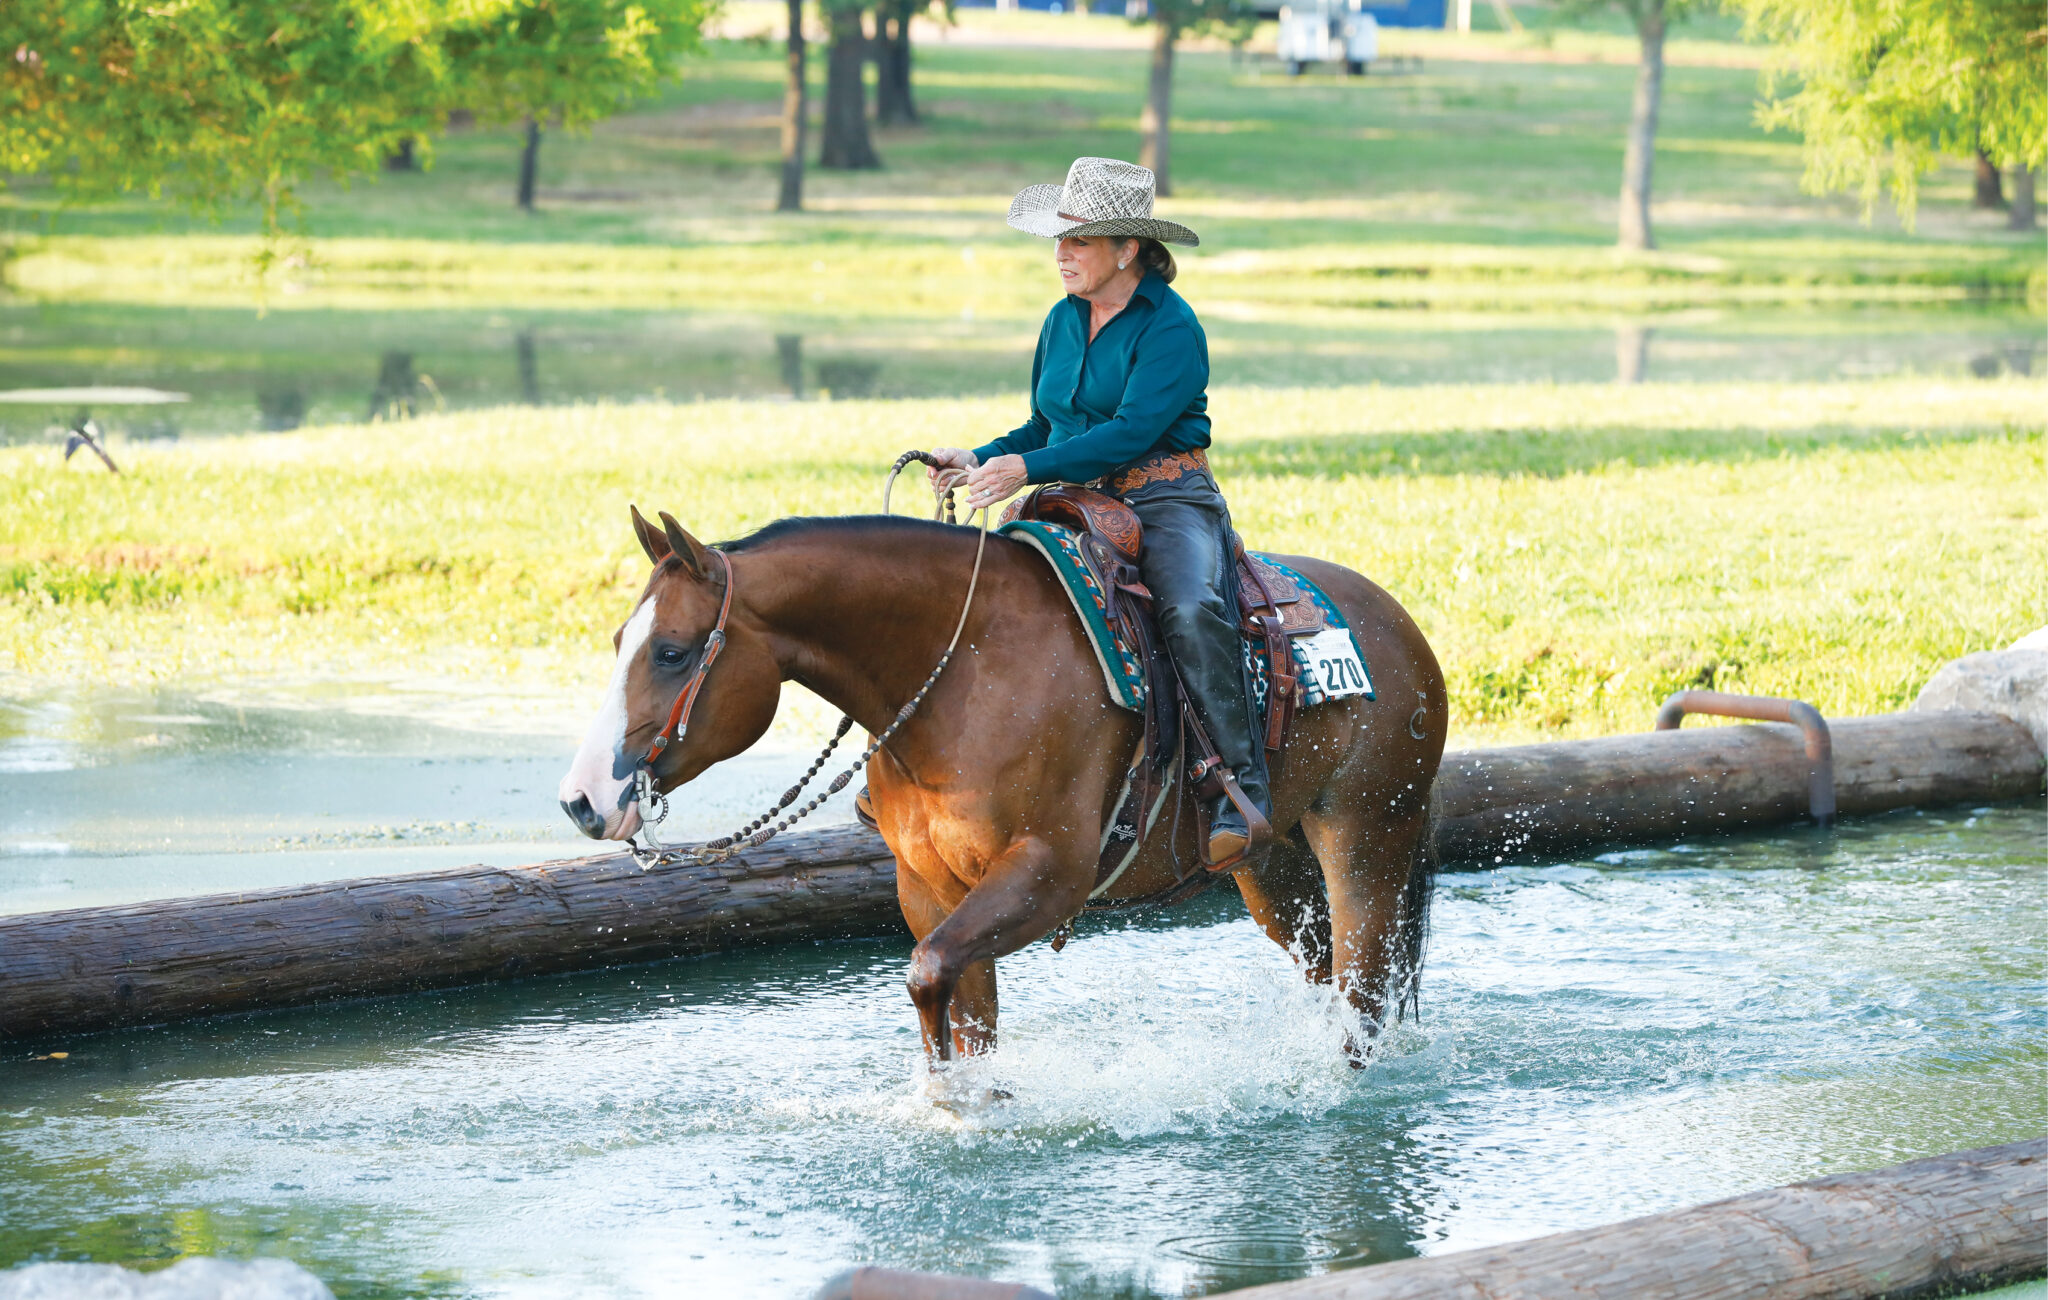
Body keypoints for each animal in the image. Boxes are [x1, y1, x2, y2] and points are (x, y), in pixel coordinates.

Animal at [558, 501, 1447, 1066]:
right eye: (621, 639)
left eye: (673, 651)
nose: (583, 800)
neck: (962, 673)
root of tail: (1399, 621)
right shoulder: (933, 887)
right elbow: (954, 1002)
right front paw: (960, 1108)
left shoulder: (1047, 873)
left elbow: (927, 977)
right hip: (1270, 866)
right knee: (1330, 973)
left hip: (1369, 838)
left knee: (1365, 990)